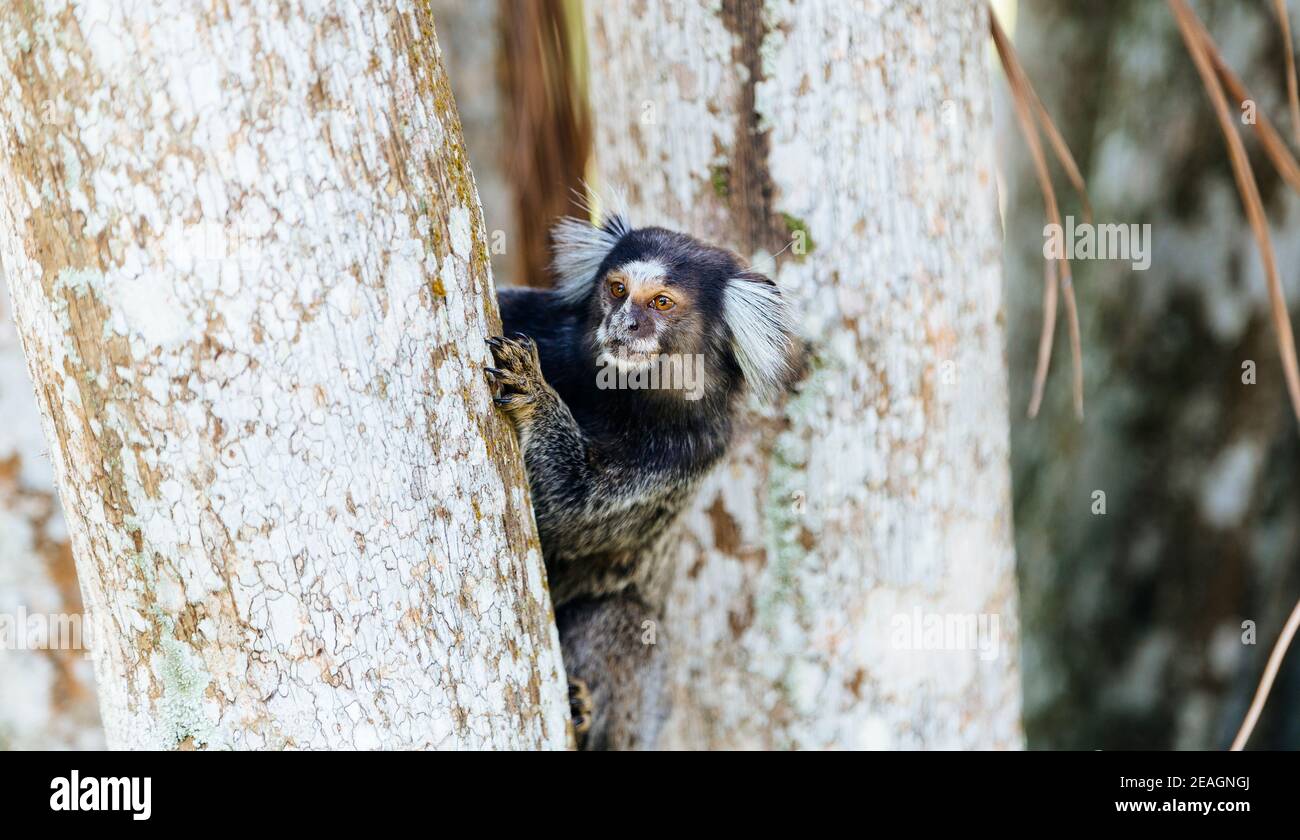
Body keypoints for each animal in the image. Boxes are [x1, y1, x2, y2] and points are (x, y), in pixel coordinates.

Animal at [486, 211, 799, 749]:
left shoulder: (686, 454)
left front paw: (537, 396)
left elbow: (568, 510)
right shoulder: (540, 318)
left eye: (661, 302)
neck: (619, 398)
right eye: (617, 290)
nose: (622, 324)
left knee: (627, 621)